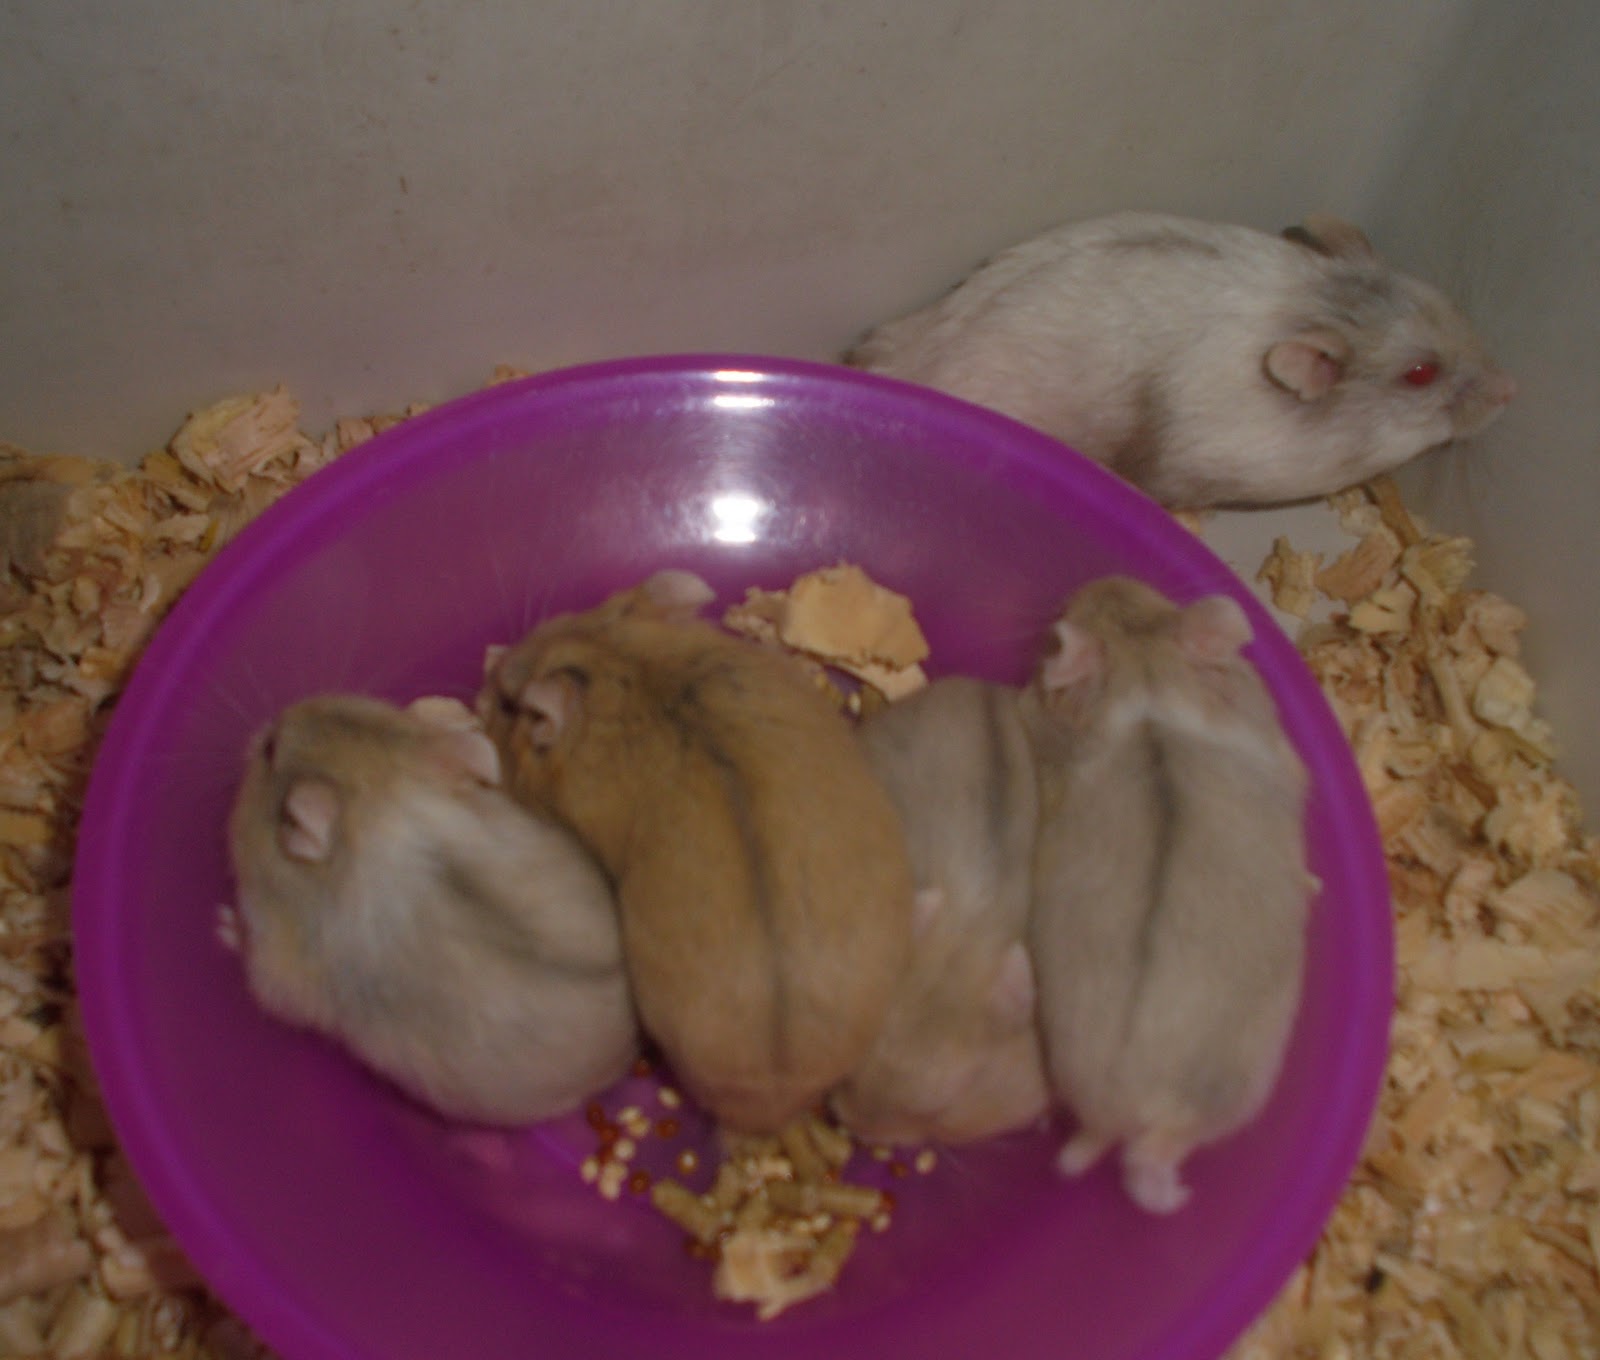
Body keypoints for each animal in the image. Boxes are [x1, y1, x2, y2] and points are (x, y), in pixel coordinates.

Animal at [227, 693, 638, 1125]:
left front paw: (223, 924)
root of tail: (632, 1042)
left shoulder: (278, 965)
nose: (273, 722)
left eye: (270, 750)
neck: (380, 814)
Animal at [1020, 576, 1310, 1213]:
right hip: (1240, 1086)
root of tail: (1118, 1107)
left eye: (1152, 601)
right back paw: (1173, 1196)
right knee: (1151, 1154)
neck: (1145, 678)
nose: (1101, 579)